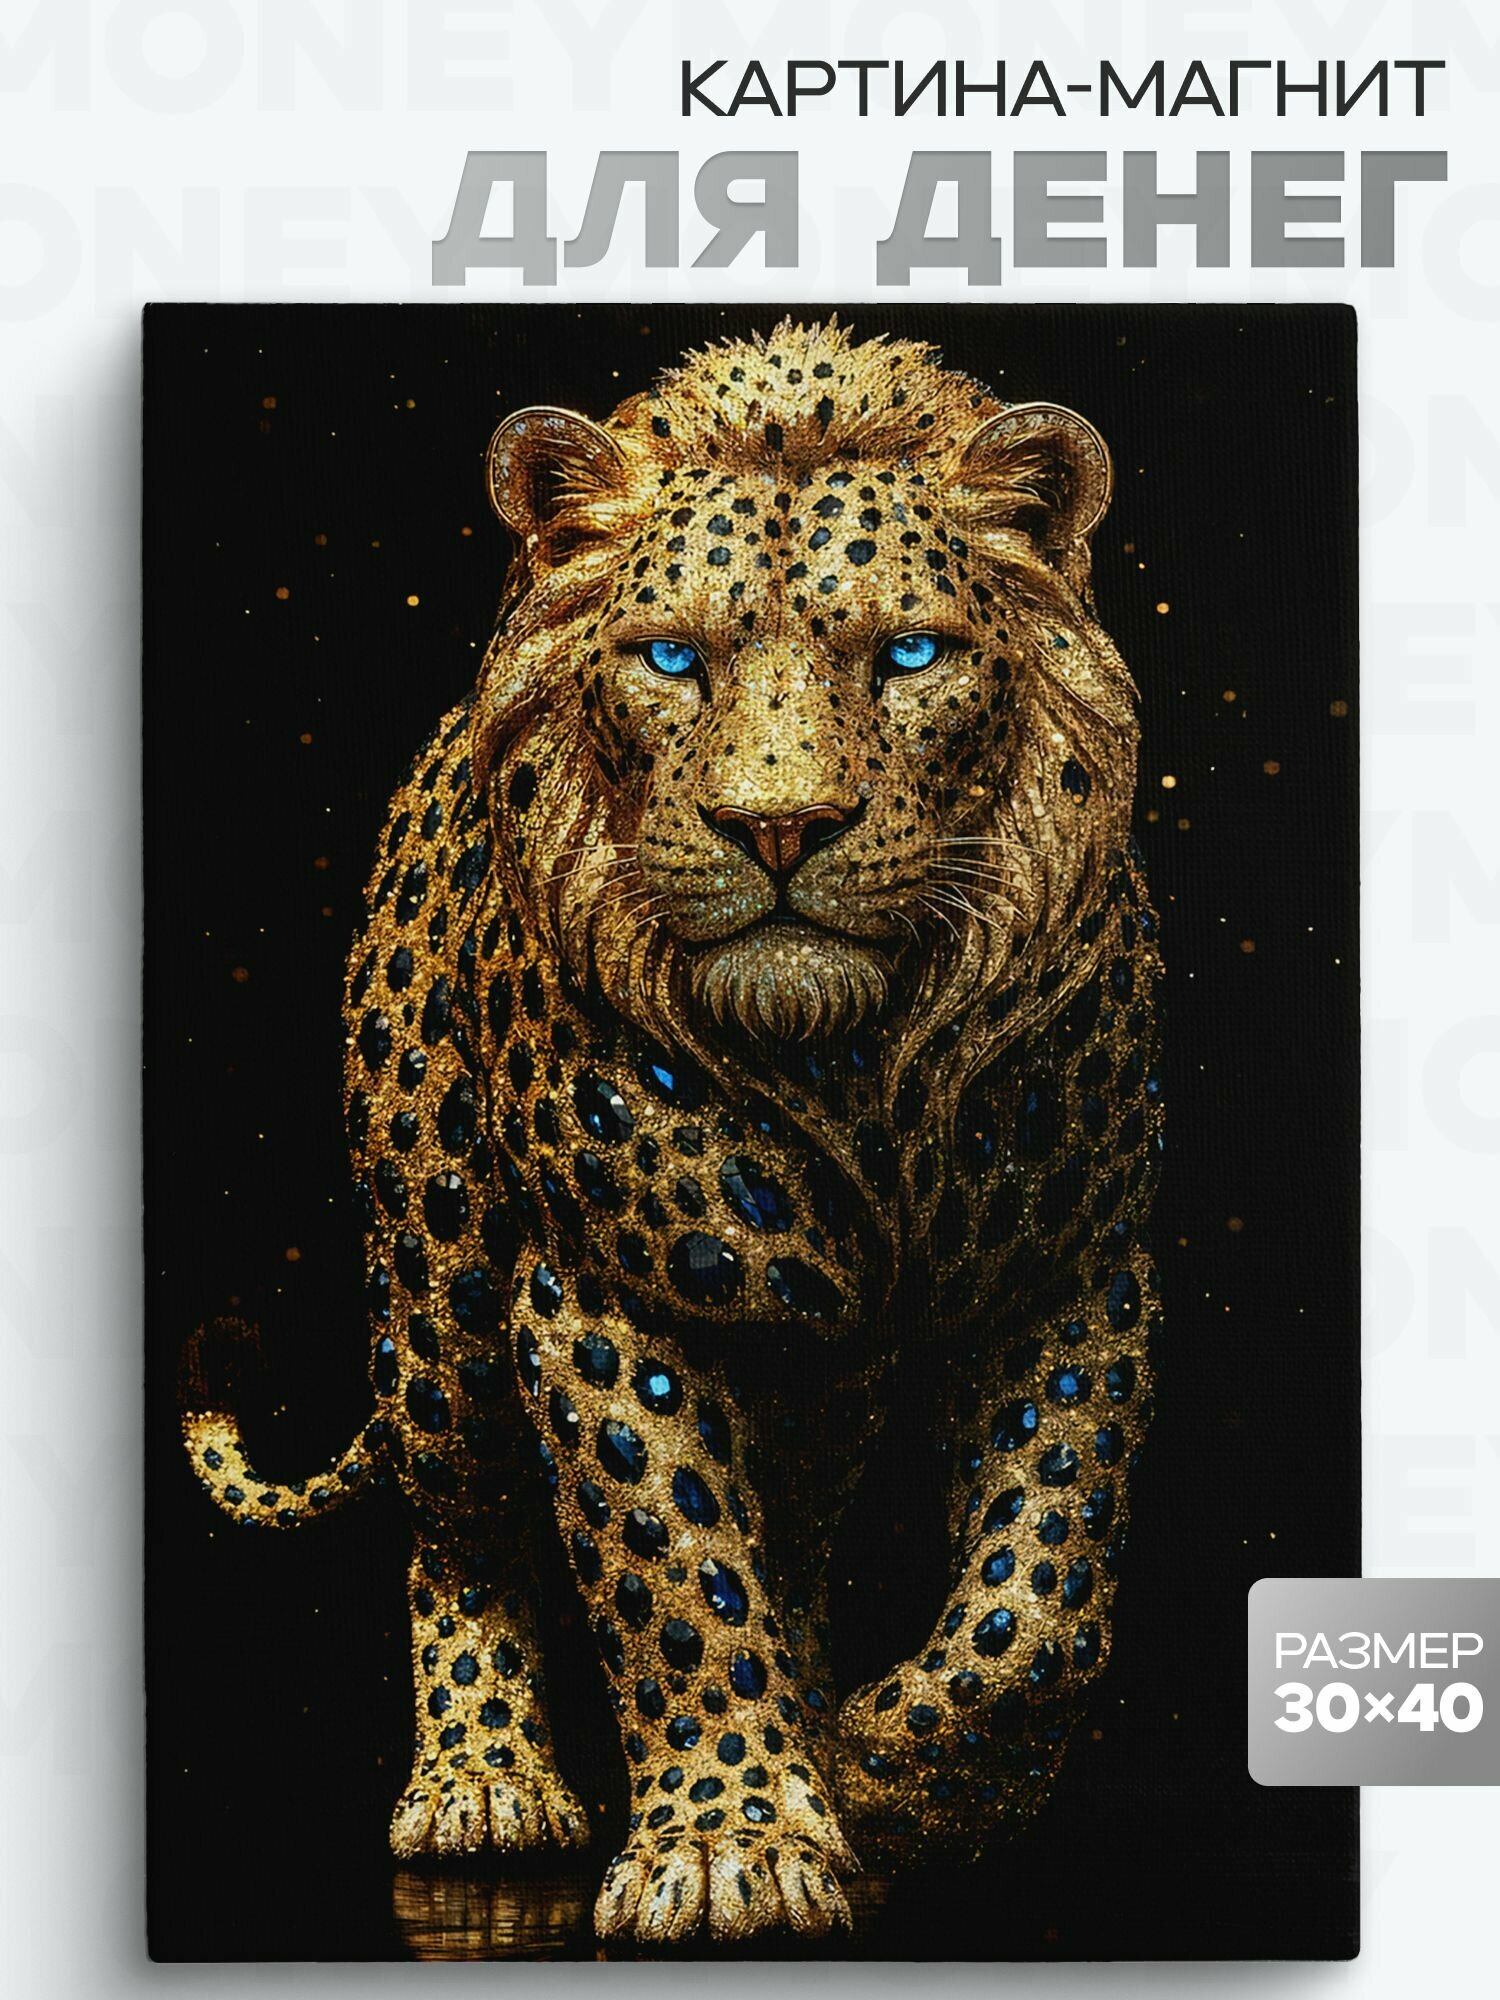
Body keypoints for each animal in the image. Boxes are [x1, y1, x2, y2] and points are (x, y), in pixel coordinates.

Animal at [179, 319, 1163, 1948]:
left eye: (908, 655)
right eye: (672, 658)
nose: (782, 828)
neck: (849, 1074)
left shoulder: (1071, 1265)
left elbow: (1044, 1592)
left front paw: (878, 1775)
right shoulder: (596, 1292)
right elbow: (677, 1567)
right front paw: (732, 1841)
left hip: (817, 1371)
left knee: (803, 1528)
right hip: (435, 1283)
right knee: (458, 1529)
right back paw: (483, 1785)